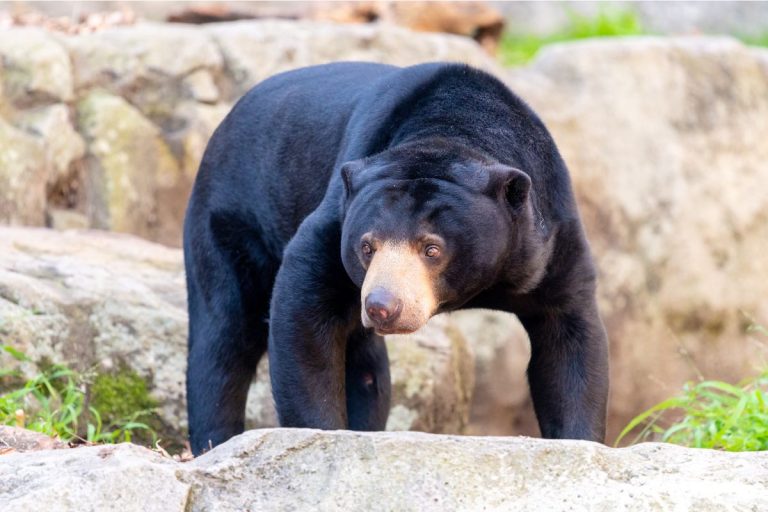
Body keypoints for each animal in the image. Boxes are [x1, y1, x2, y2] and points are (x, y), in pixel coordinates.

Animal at [183, 61, 609, 455]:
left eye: (432, 248)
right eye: (366, 246)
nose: (382, 306)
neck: (450, 131)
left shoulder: (551, 240)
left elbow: (568, 339)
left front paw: (579, 440)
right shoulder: (335, 218)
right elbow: (302, 308)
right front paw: (318, 432)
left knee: (366, 366)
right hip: (230, 220)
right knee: (224, 335)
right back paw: (214, 441)